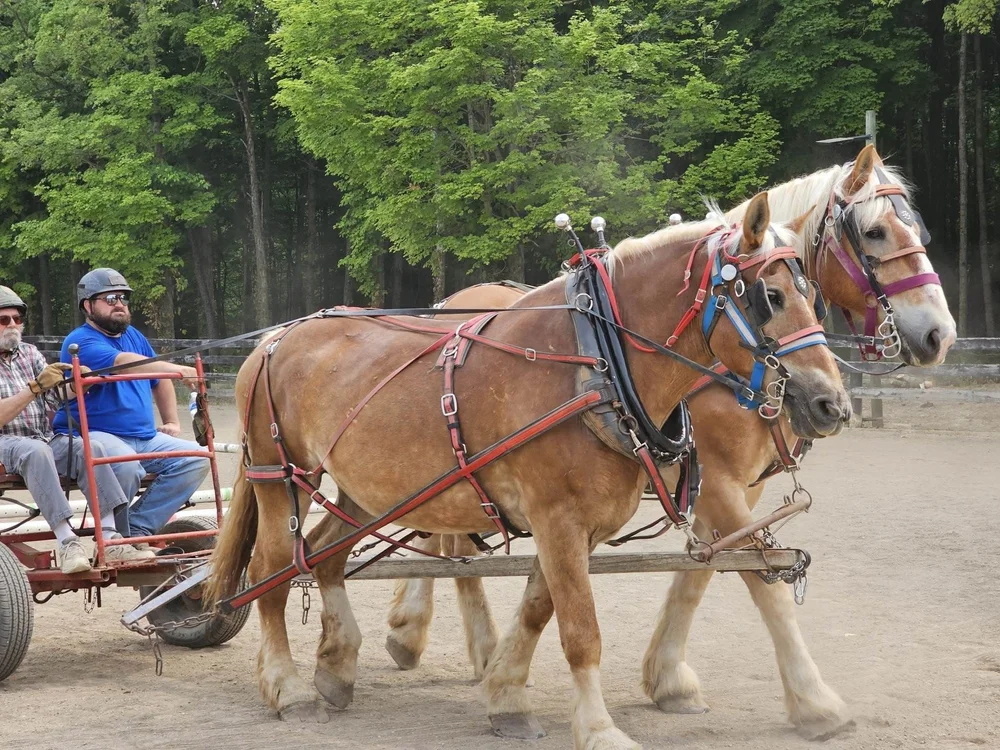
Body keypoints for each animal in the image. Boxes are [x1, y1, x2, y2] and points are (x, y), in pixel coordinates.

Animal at [205, 191, 849, 750]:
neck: (596, 363)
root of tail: (275, 338)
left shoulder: (574, 524)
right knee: (270, 572)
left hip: (370, 490)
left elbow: (542, 610)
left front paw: (507, 697)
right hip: (278, 474)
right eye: (768, 295)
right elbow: (581, 631)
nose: (831, 404)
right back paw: (287, 687)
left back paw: (338, 666)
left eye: (811, 293)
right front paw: (600, 729)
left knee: (324, 557)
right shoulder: (559, 515)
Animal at [378, 145, 956, 740]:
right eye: (874, 233)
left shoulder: (731, 489)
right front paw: (816, 701)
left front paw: (668, 679)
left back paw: (419, 633)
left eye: (918, 227)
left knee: (442, 535)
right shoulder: (718, 483)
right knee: (454, 546)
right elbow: (764, 584)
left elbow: (698, 575)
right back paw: (453, 639)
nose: (939, 335)